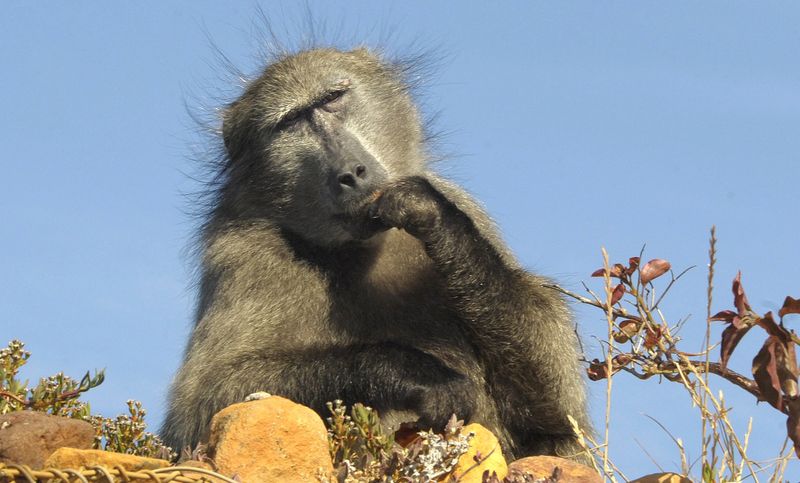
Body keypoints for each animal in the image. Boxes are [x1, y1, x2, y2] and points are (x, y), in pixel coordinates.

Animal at [161, 46, 590, 461]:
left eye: (333, 98)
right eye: (291, 121)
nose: (350, 174)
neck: (361, 246)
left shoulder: (464, 203)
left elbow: (556, 414)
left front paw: (433, 216)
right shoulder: (243, 250)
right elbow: (203, 401)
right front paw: (420, 375)